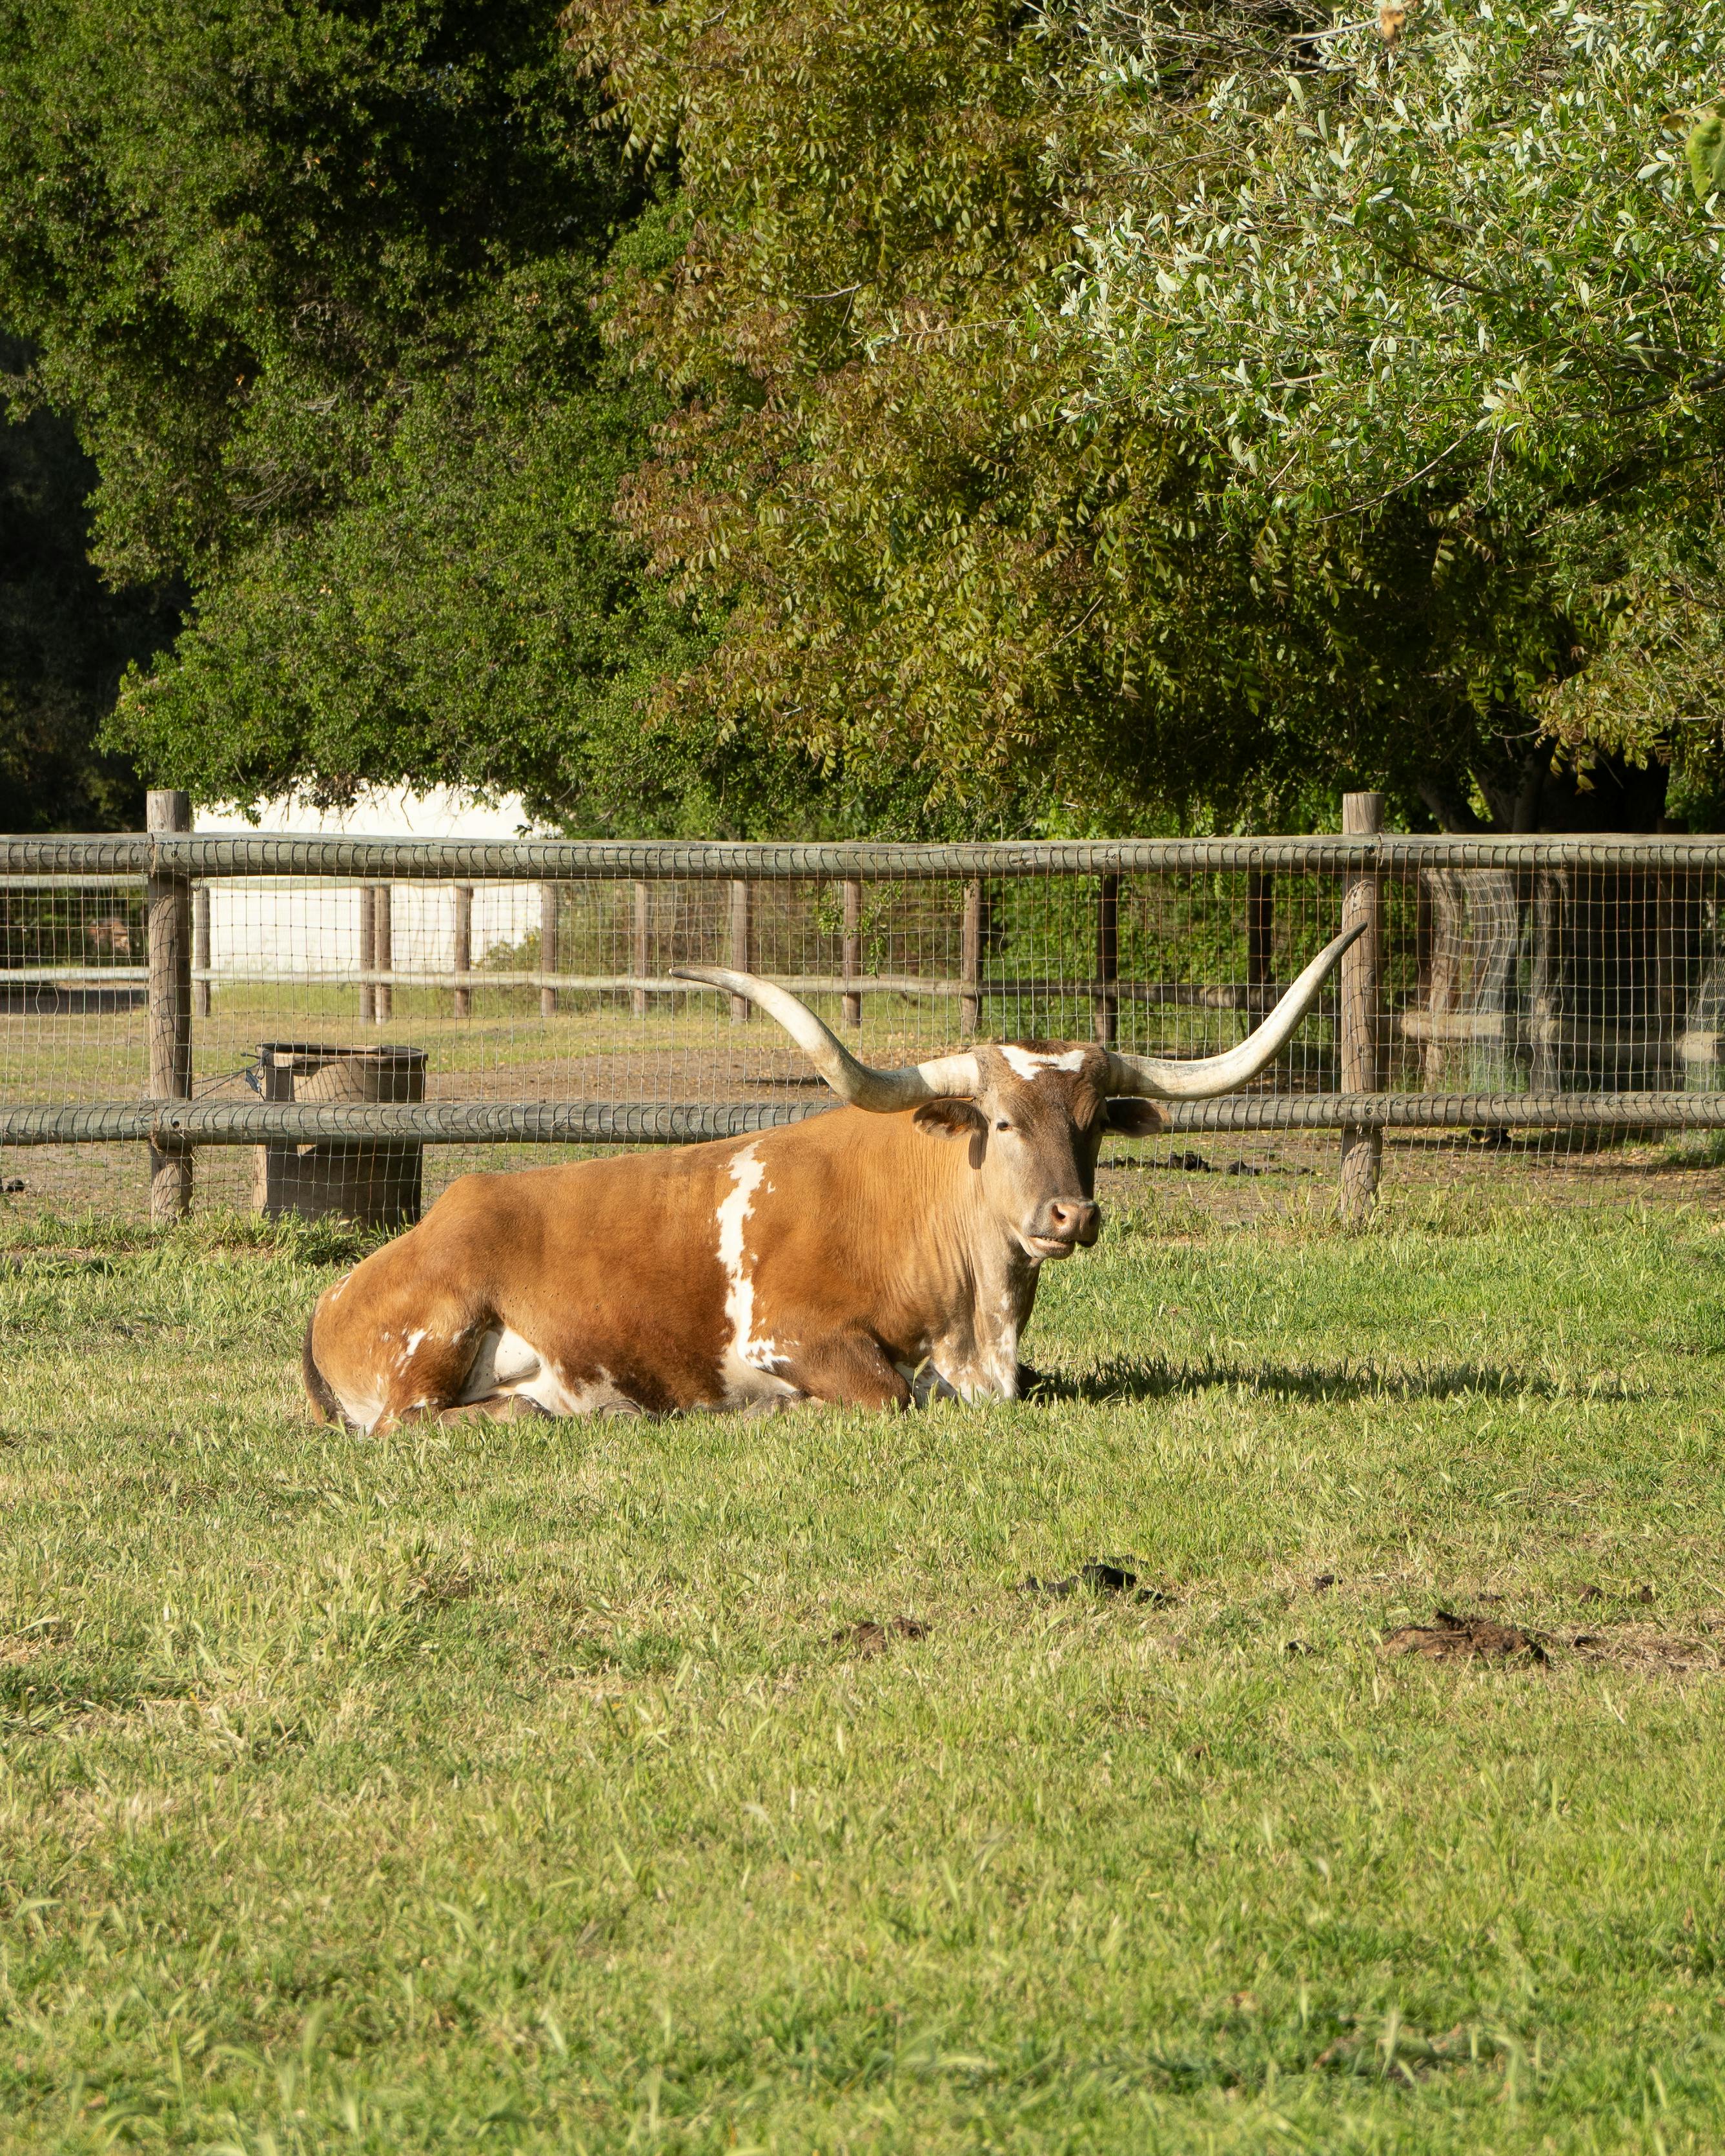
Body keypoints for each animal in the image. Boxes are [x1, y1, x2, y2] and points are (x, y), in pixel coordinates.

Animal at [303, 923, 1361, 1431]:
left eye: (1096, 1122)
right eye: (1003, 1122)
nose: (1071, 1214)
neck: (976, 1321)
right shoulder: (787, 1338)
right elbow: (887, 1395)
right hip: (438, 1335)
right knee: (414, 1421)